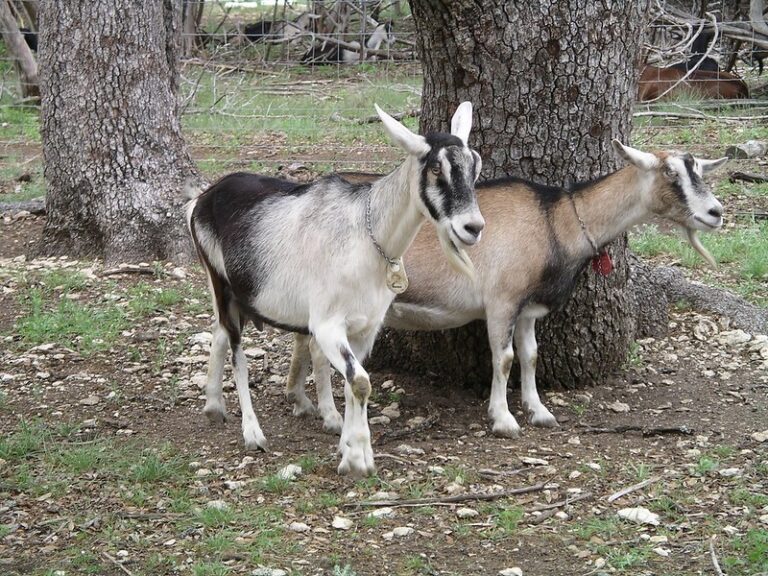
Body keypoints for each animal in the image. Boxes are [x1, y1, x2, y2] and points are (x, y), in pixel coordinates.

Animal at [186, 102, 484, 475]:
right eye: (435, 168)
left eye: (475, 165)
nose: (473, 227)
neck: (368, 236)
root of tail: (201, 199)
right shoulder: (327, 325)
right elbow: (361, 381)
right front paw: (358, 459)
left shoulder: (366, 327)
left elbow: (352, 382)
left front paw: (348, 446)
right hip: (220, 282)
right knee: (237, 348)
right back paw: (253, 433)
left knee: (218, 332)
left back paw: (214, 405)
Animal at [286, 141, 727, 438]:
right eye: (670, 175)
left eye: (698, 171)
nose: (716, 213)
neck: (555, 220)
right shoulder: (501, 301)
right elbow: (504, 359)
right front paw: (504, 419)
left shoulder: (527, 307)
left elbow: (530, 356)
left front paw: (539, 410)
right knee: (319, 349)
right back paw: (330, 415)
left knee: (304, 341)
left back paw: (300, 399)